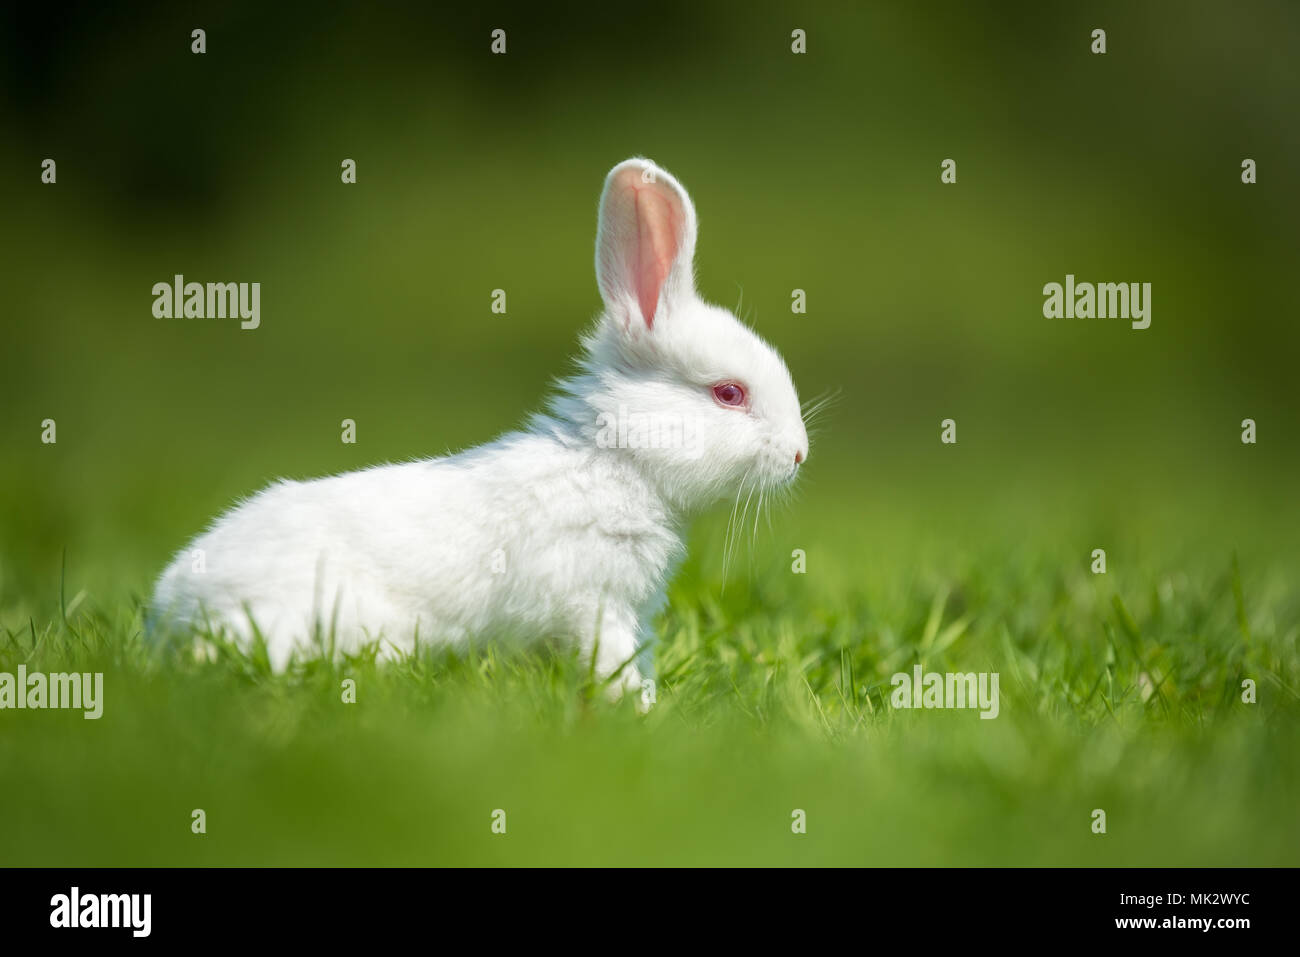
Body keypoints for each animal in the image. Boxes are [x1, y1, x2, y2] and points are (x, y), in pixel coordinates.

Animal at [150, 158, 810, 697]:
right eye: (729, 394)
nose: (800, 455)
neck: (615, 463)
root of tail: (170, 610)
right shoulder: (594, 604)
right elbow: (612, 662)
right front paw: (638, 711)